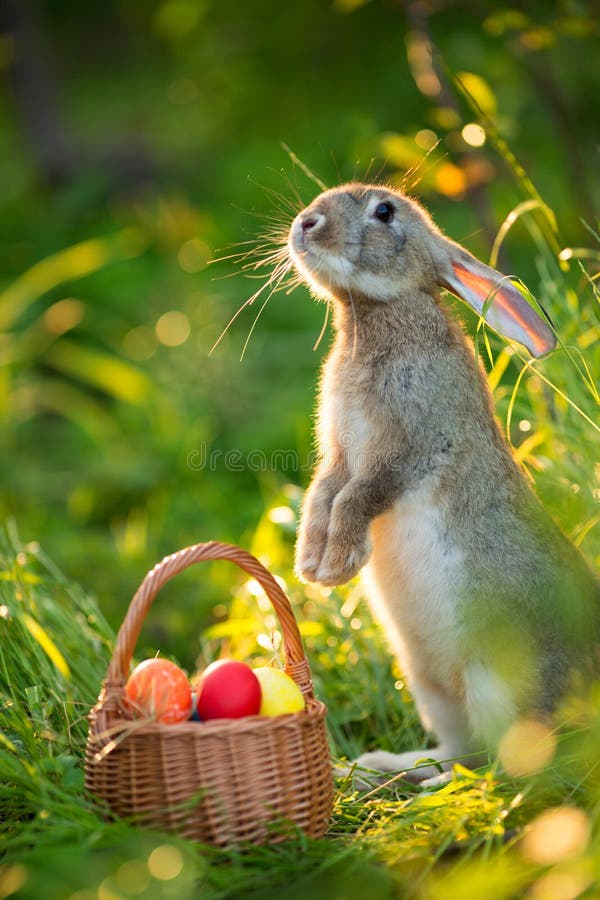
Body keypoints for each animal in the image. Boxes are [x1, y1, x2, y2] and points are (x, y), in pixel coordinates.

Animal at [288, 185, 600, 788]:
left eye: (384, 212)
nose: (305, 224)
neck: (374, 312)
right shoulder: (339, 453)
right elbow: (324, 493)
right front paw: (310, 563)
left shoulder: (410, 447)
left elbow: (359, 495)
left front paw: (336, 566)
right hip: (432, 688)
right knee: (462, 748)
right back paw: (379, 768)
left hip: (495, 679)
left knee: (512, 762)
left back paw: (434, 783)